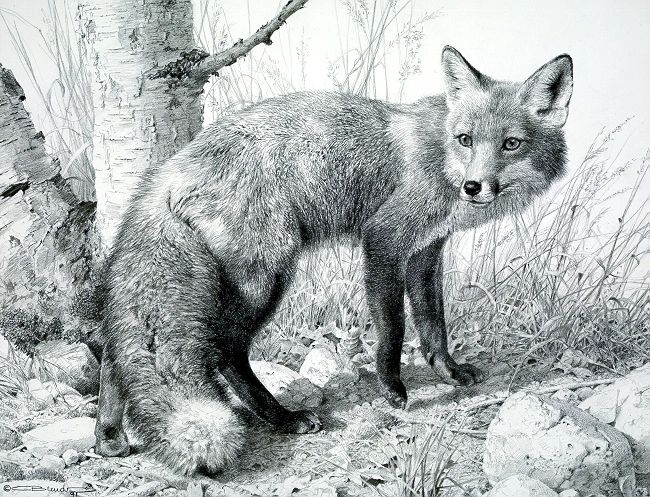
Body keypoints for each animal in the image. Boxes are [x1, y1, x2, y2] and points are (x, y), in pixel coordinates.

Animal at [93, 46, 573, 474]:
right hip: (264, 280)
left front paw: (448, 372)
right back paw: (283, 418)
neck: (441, 155)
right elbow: (394, 327)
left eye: (511, 144)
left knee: (116, 355)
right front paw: (392, 389)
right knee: (225, 352)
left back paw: (108, 437)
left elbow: (433, 322)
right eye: (466, 140)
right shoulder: (384, 239)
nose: (474, 187)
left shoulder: (426, 251)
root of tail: (169, 170)